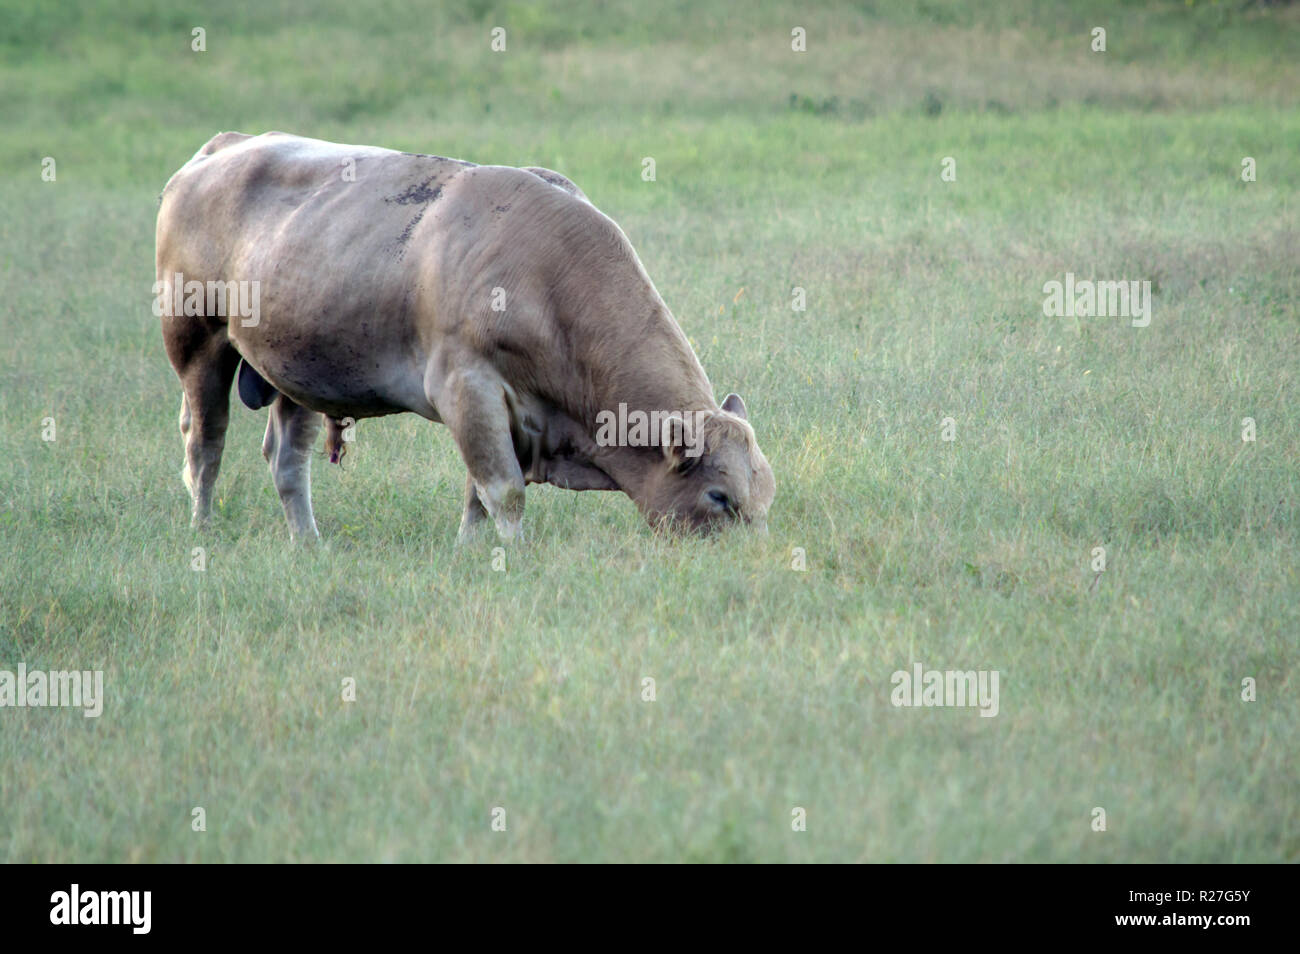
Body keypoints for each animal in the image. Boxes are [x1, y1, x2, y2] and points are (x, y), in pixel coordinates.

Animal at [155, 132, 774, 543]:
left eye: (764, 495)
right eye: (720, 498)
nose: (752, 558)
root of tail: (223, 147)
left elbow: (478, 493)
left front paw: (470, 552)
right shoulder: (466, 388)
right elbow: (503, 490)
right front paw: (514, 558)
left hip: (295, 370)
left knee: (286, 459)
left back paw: (309, 545)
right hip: (197, 343)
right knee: (205, 446)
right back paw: (203, 531)